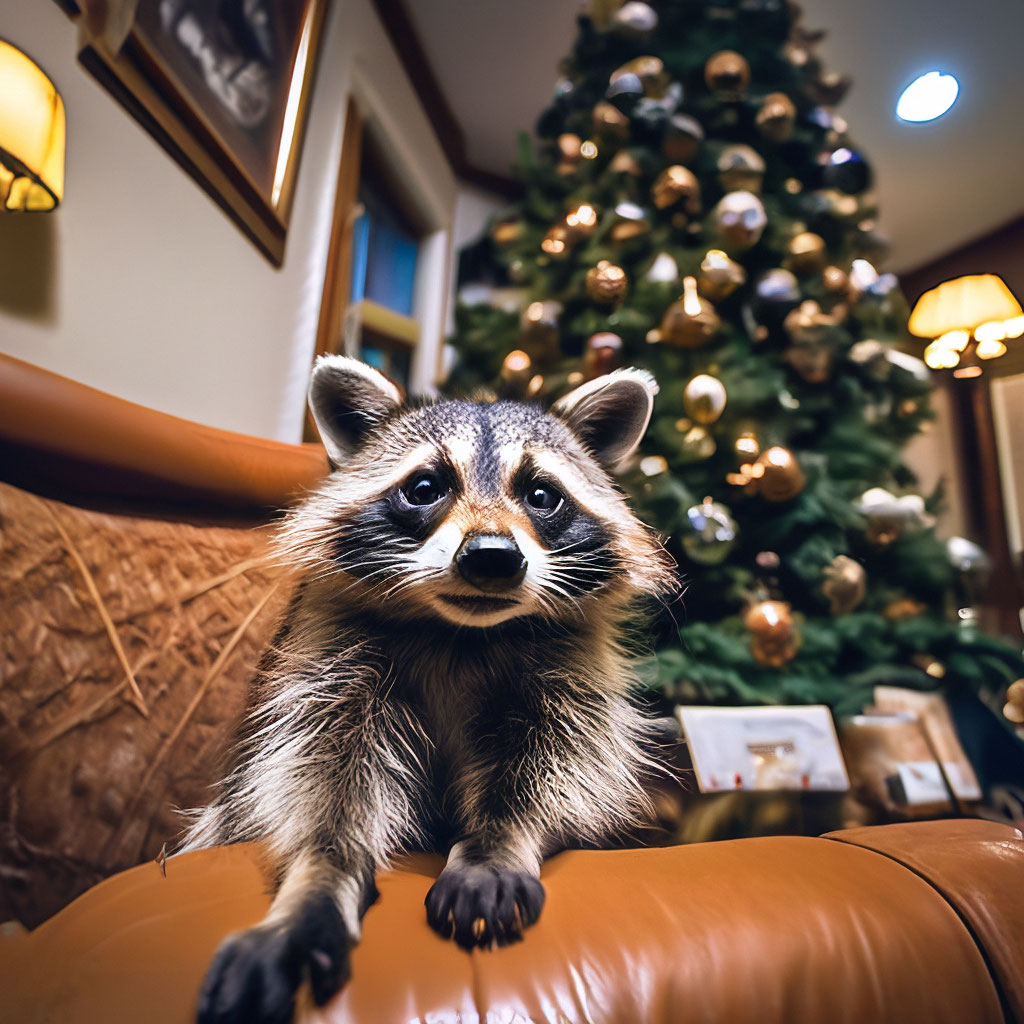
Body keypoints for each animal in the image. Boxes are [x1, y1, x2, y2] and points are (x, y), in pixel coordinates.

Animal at [184, 356, 675, 1024]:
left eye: (541, 496)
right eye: (424, 488)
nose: (491, 557)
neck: (461, 632)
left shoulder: (569, 675)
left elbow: (555, 769)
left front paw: (497, 842)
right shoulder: (330, 664)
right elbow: (320, 780)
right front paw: (318, 878)